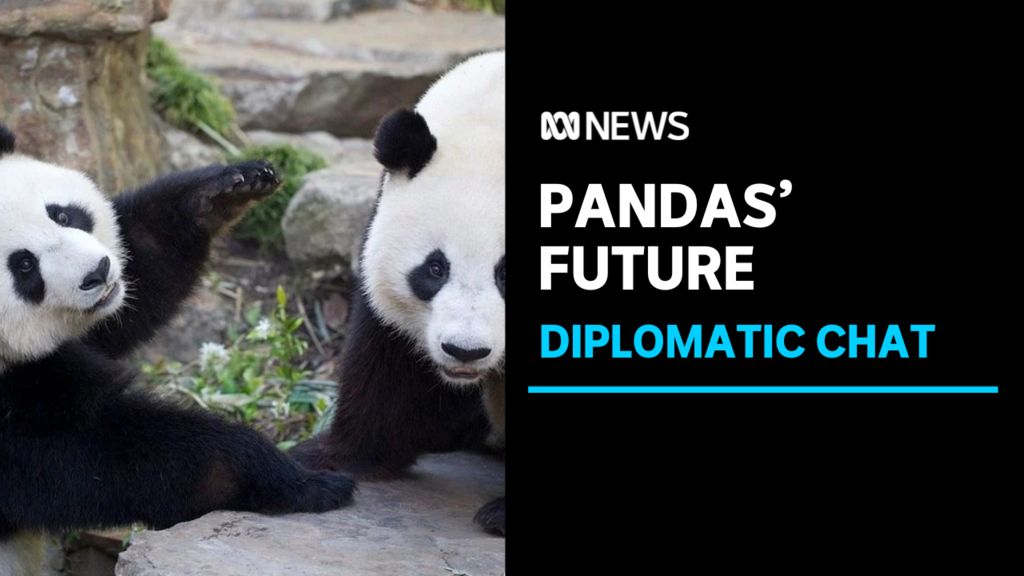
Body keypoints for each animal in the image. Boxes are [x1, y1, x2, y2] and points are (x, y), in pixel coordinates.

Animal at [0, 123, 355, 575]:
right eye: (24, 266)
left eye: (62, 214)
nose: (99, 272)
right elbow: (90, 457)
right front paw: (289, 478)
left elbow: (140, 275)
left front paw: (224, 190)